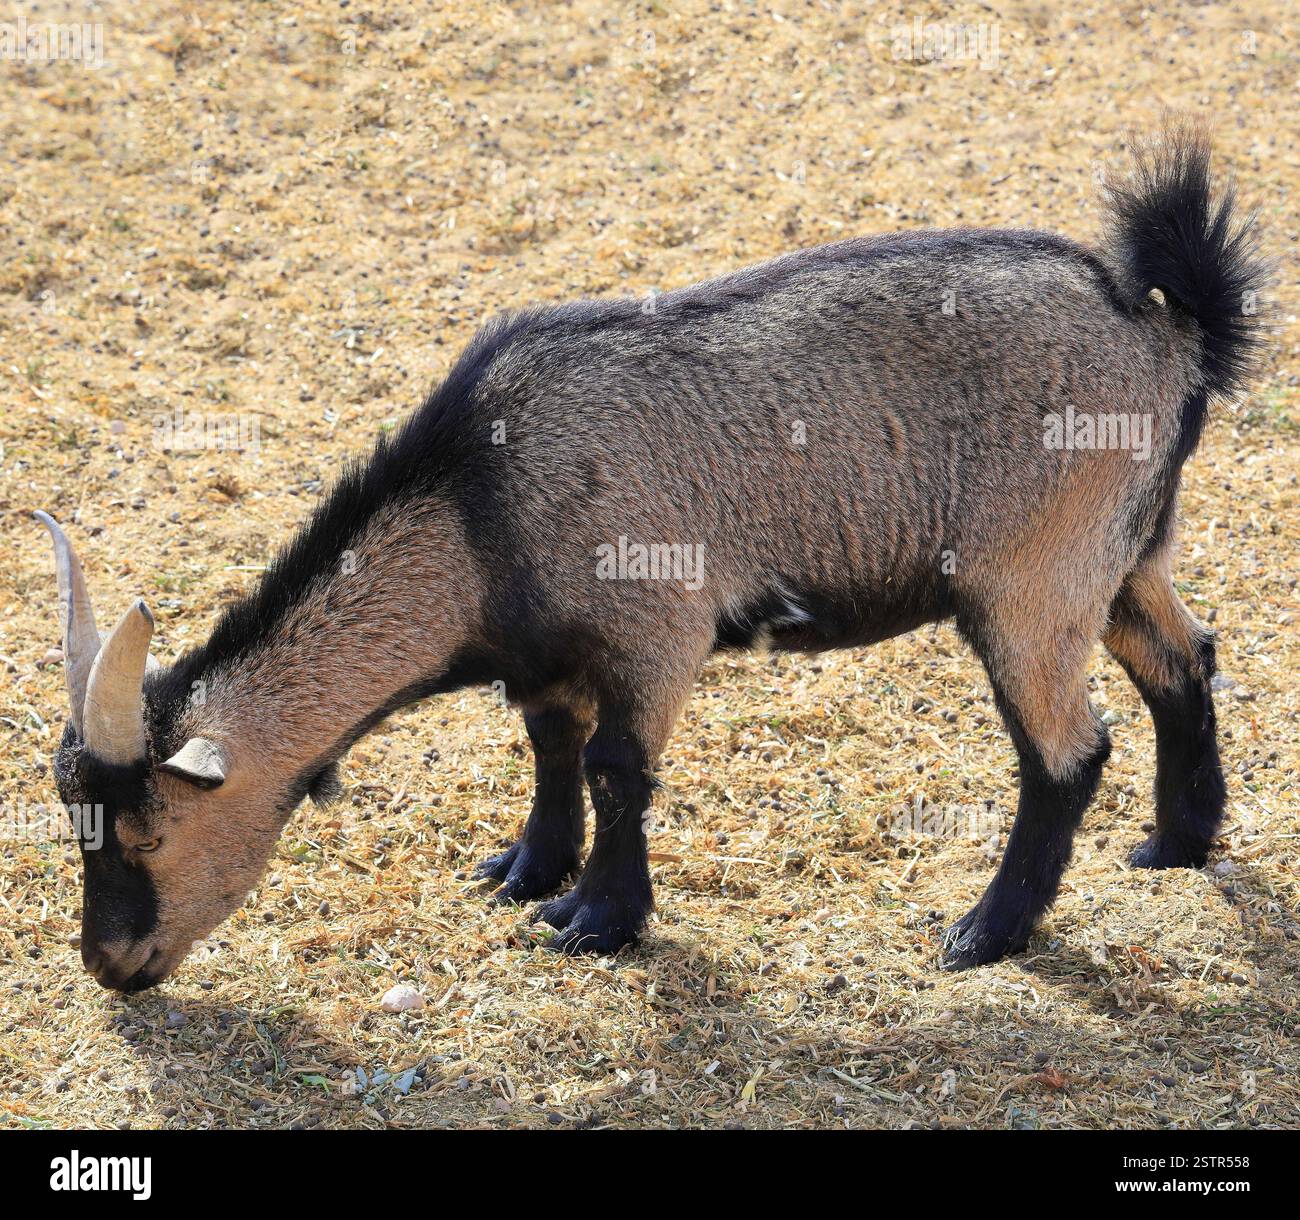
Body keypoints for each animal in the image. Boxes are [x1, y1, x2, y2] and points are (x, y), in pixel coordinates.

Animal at [39, 124, 1266, 991]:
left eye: (146, 827)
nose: (111, 964)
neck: (479, 503)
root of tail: (1169, 330)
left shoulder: (657, 626)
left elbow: (615, 767)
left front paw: (596, 920)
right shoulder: (548, 654)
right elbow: (550, 746)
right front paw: (525, 869)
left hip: (1030, 574)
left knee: (1066, 750)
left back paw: (983, 933)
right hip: (1120, 551)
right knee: (1185, 657)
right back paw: (1176, 841)